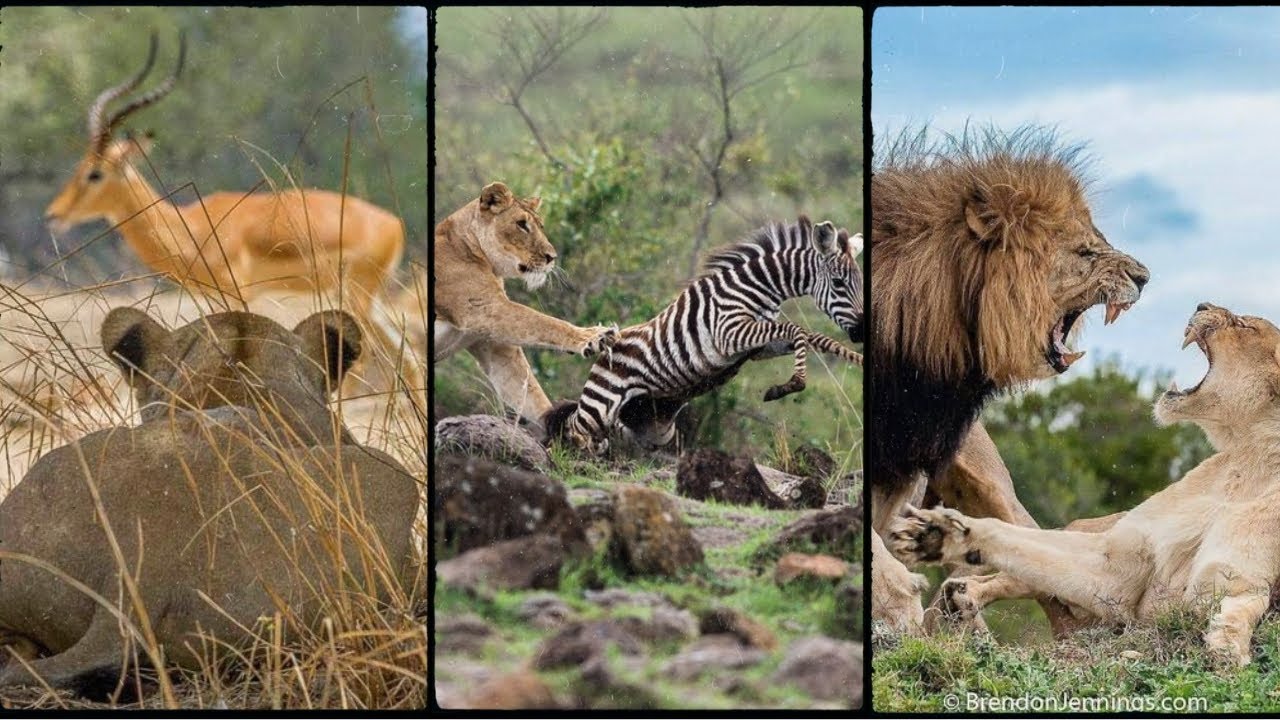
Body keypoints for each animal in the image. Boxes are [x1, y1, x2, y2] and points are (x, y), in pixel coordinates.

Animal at [433, 182, 618, 426]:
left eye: (541, 226)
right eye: (521, 224)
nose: (551, 257)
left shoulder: (493, 345)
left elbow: (528, 392)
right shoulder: (485, 309)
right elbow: (547, 323)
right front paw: (594, 336)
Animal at [868, 126, 1149, 631]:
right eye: (1085, 251)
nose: (1144, 277)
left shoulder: (906, 454)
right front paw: (898, 601)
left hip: (993, 487)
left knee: (1045, 557)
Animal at [888, 303, 1280, 666]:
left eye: (1244, 325)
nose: (1201, 305)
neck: (1246, 460)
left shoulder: (1225, 583)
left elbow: (1245, 605)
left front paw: (1228, 643)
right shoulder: (1114, 566)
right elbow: (1010, 539)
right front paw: (940, 533)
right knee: (1016, 575)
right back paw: (961, 595)